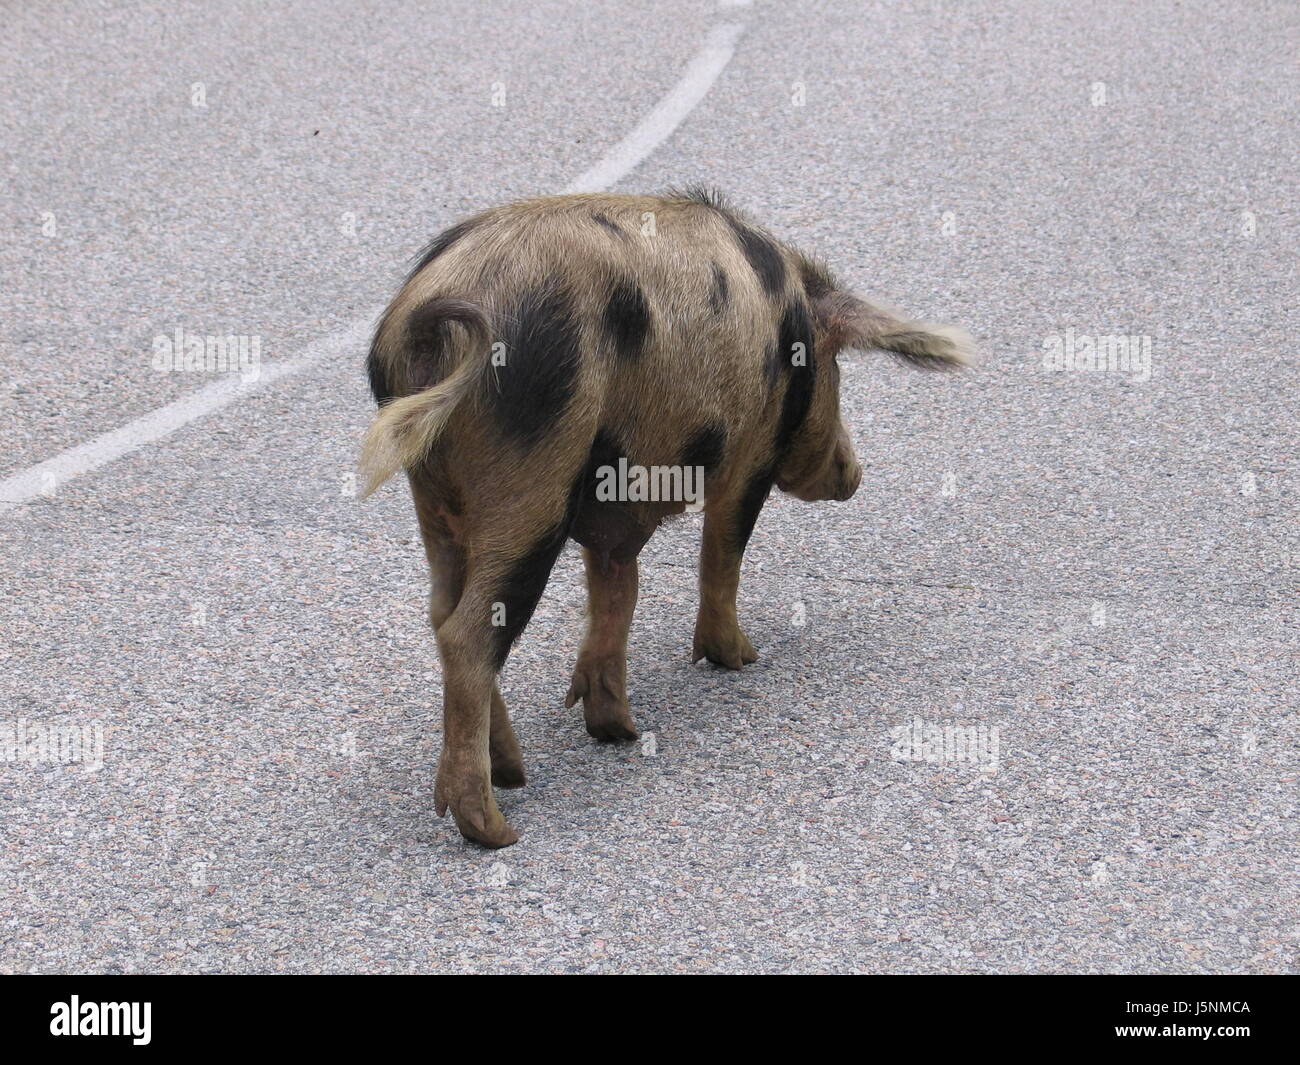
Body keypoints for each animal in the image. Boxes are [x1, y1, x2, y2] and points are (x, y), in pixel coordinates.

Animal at [362, 187, 973, 847]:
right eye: (836, 367)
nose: (854, 476)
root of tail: (424, 323)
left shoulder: (614, 505)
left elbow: (618, 592)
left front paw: (617, 732)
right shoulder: (750, 452)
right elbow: (722, 553)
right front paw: (741, 659)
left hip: (434, 496)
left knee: (441, 613)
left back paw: (515, 772)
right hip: (530, 483)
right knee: (469, 634)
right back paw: (495, 829)